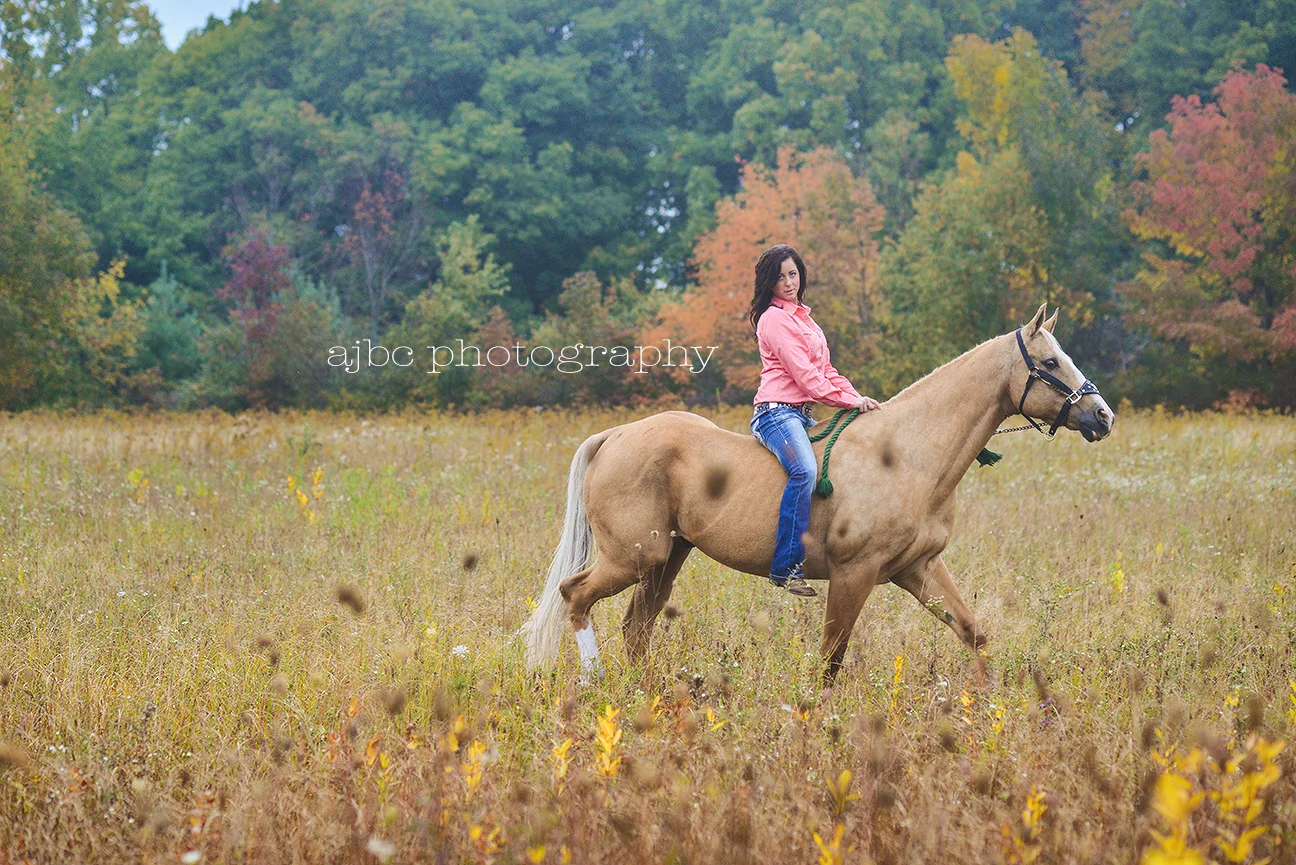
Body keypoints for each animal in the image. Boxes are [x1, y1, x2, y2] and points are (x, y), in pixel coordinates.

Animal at [521, 304, 1114, 685]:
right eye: (1052, 362)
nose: (1102, 416)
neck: (907, 455)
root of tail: (617, 435)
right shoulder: (856, 574)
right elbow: (830, 658)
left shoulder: (917, 567)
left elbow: (972, 632)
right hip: (633, 557)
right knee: (576, 596)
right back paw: (594, 682)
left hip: (666, 559)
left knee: (635, 629)